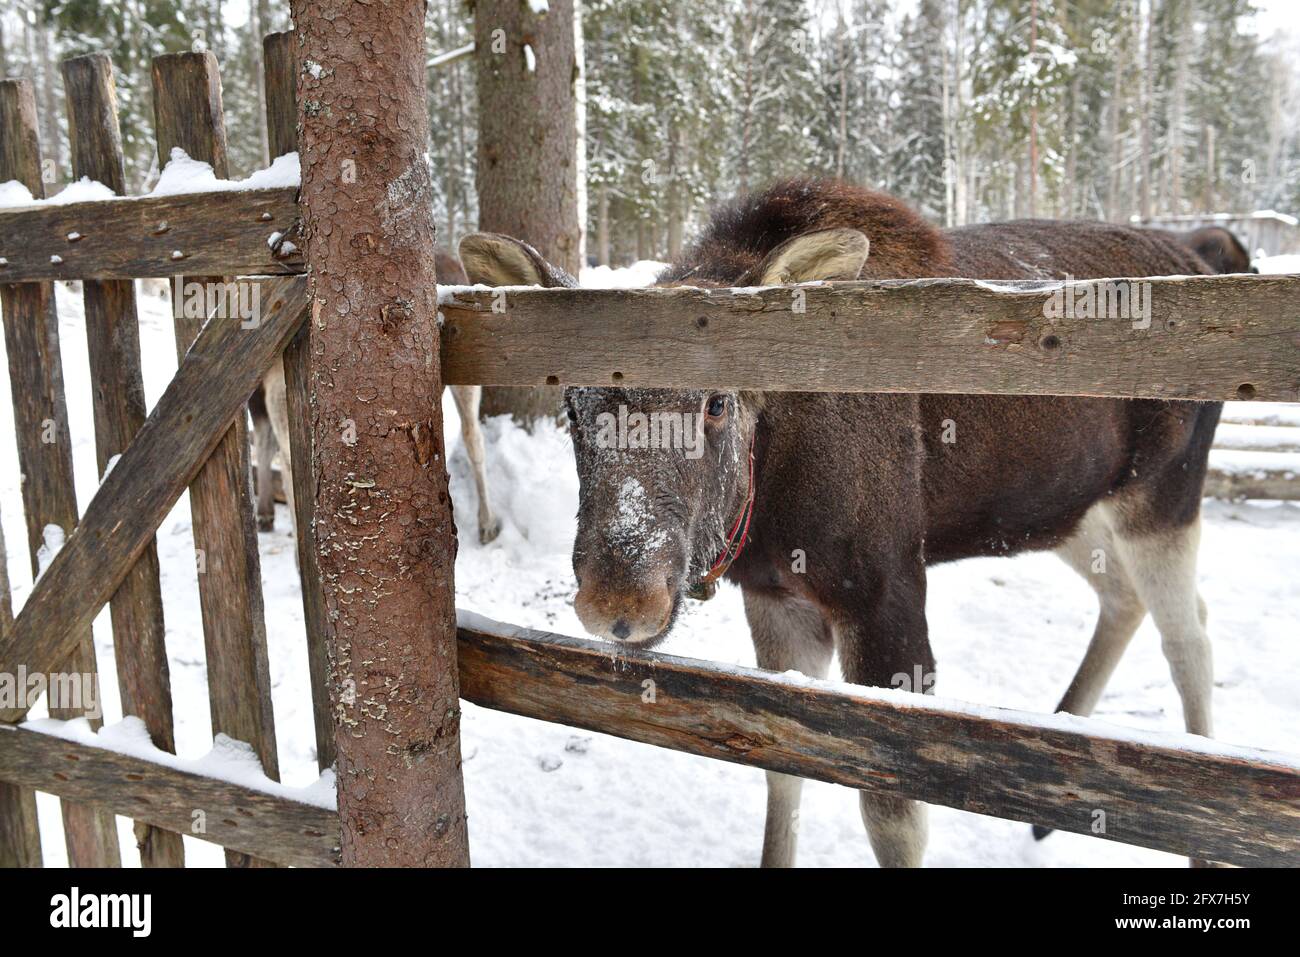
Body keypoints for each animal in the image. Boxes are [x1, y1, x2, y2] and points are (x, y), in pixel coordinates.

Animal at [458, 178, 1225, 867]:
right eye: (573, 406)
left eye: (716, 402)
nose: (619, 600)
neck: (770, 500)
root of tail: (1203, 254)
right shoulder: (775, 596)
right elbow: (782, 765)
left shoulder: (882, 594)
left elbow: (892, 816)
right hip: (1068, 509)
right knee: (1124, 600)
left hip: (1163, 494)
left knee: (1189, 636)